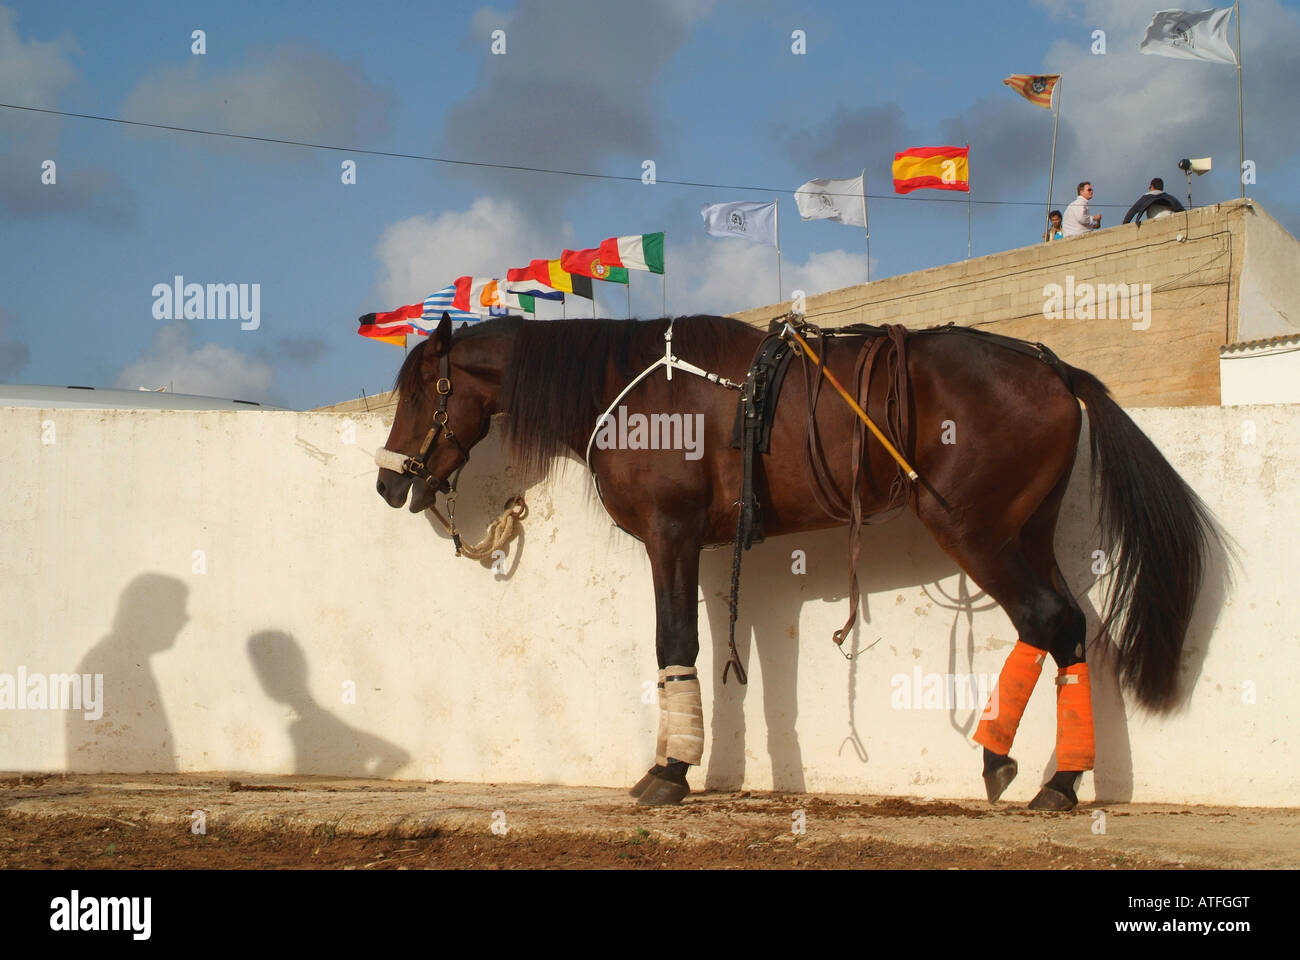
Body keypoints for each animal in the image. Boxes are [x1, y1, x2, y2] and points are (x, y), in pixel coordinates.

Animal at [373, 310, 1220, 809]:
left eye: (419, 391)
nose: (388, 482)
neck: (642, 391)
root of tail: (1052, 367)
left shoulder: (672, 537)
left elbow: (674, 644)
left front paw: (669, 772)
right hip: (1026, 532)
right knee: (1069, 627)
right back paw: (1058, 780)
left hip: (976, 530)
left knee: (1045, 621)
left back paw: (1009, 765)